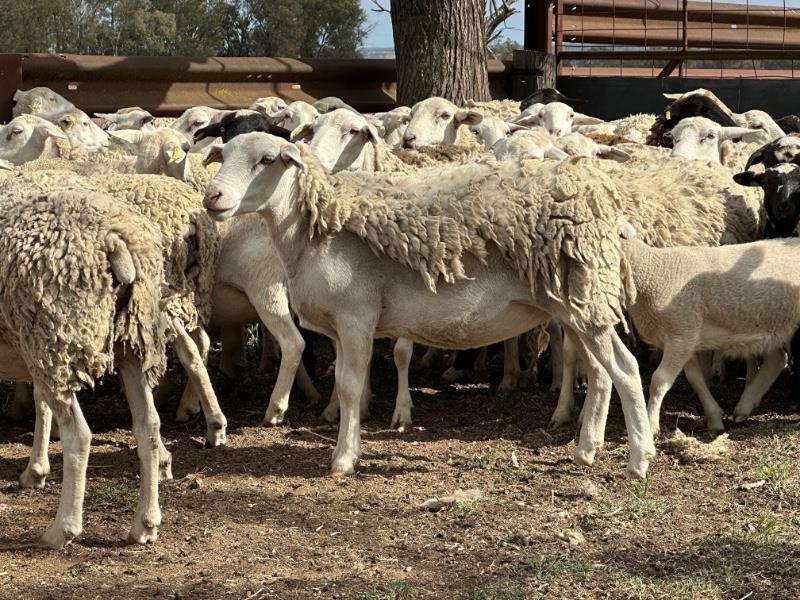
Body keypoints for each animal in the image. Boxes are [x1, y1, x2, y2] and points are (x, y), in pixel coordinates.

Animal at [0, 188, 168, 548]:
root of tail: (116, 234)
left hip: (54, 332)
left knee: (78, 434)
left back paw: (62, 529)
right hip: (129, 337)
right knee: (148, 426)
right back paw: (145, 525)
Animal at [202, 132, 656, 478]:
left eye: (267, 159)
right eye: (223, 153)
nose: (213, 197)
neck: (315, 229)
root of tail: (602, 200)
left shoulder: (355, 316)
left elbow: (349, 388)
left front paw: (343, 460)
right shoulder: (341, 327)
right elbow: (347, 388)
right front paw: (351, 445)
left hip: (585, 301)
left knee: (626, 369)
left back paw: (638, 459)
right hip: (578, 305)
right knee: (599, 373)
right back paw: (586, 450)